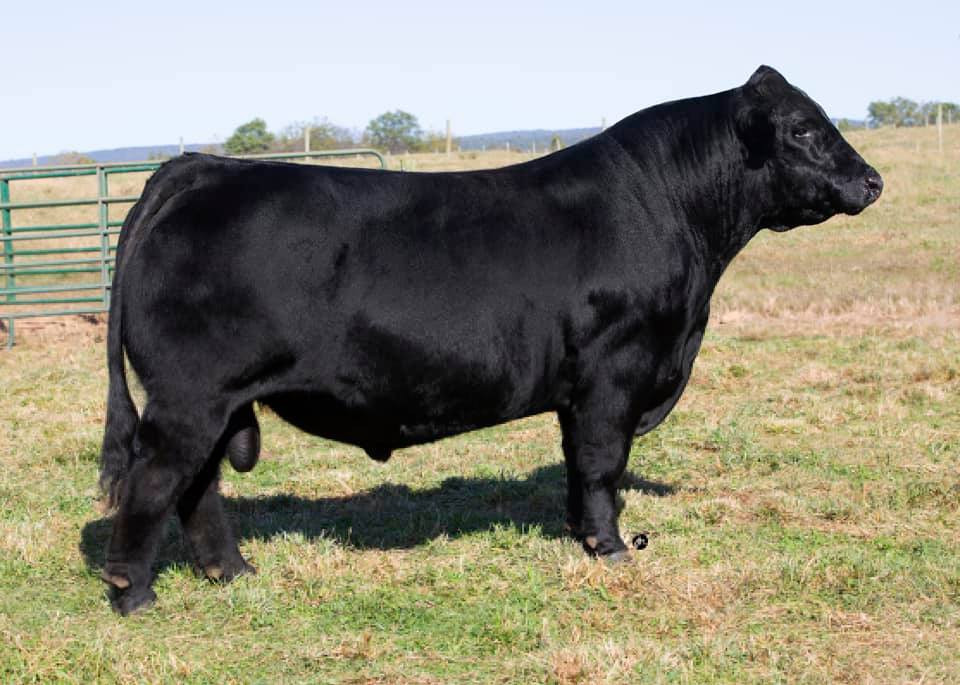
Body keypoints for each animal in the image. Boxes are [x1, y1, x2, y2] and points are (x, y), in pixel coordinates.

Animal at [97, 66, 882, 614]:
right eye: (803, 128)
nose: (872, 180)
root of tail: (205, 165)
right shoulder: (615, 374)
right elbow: (602, 464)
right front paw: (613, 551)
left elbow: (577, 468)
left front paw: (583, 538)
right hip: (190, 396)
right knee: (156, 479)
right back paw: (135, 594)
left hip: (217, 399)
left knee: (198, 486)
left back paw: (232, 573)